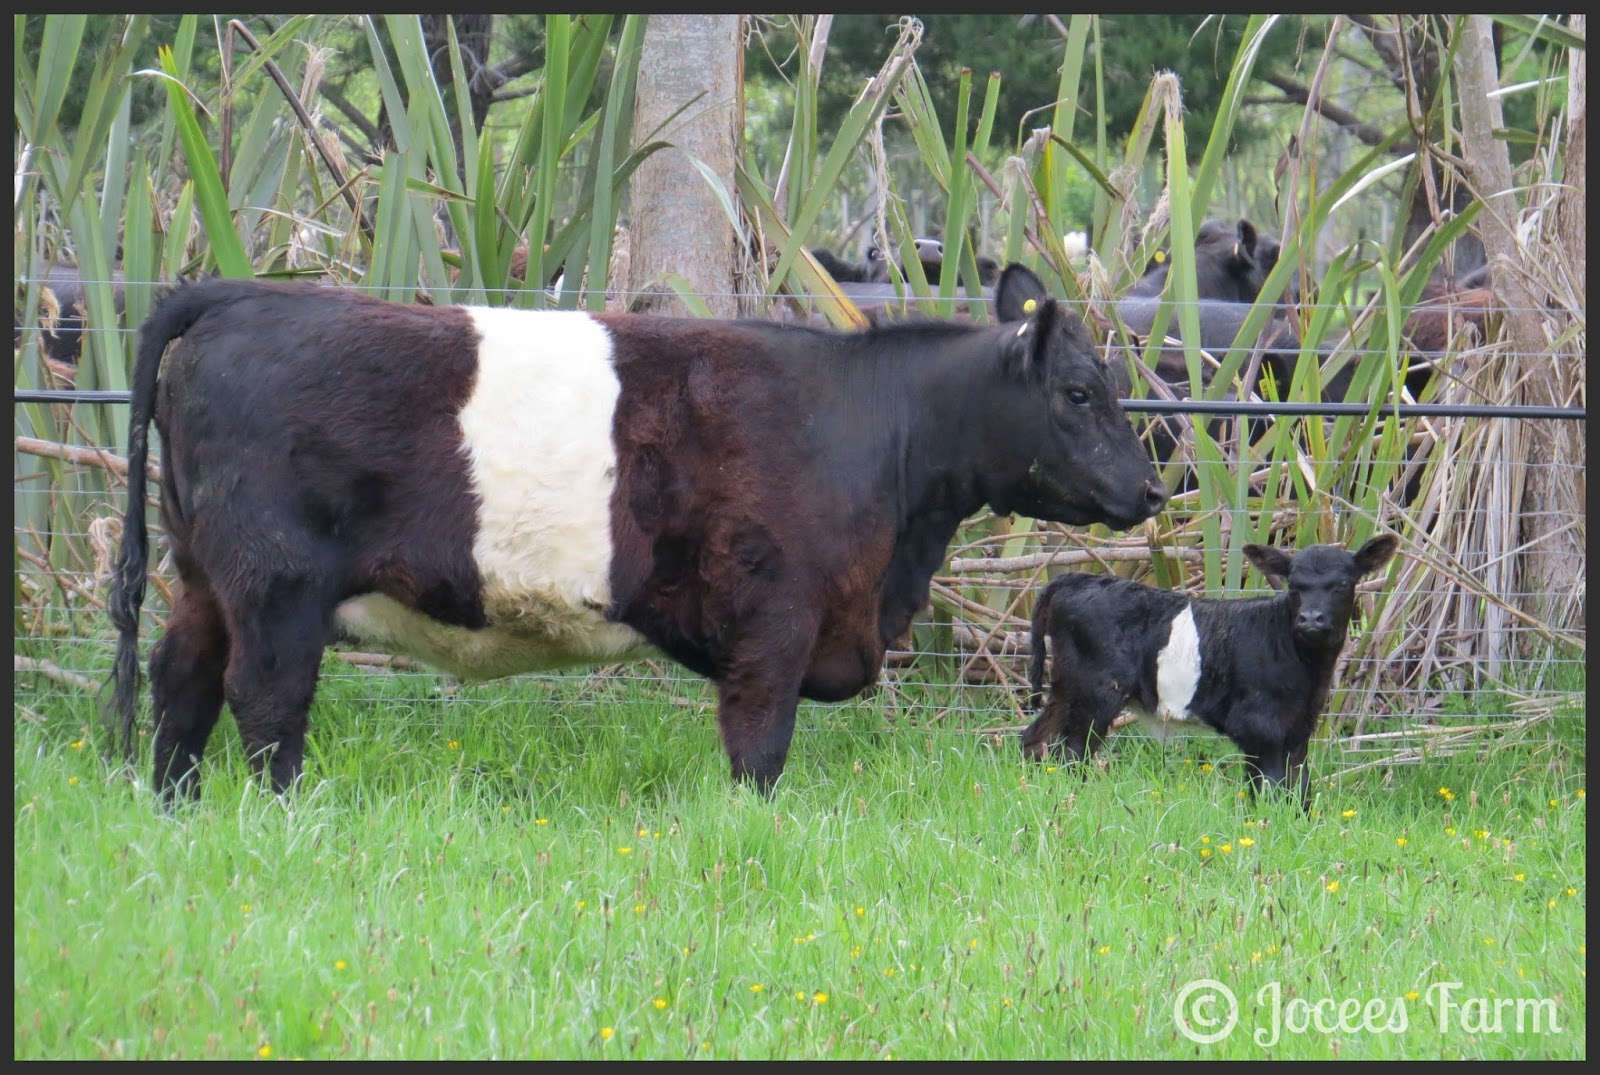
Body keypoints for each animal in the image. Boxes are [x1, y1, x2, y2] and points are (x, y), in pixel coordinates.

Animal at [108, 265, 1169, 803]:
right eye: (1080, 392)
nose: (1154, 488)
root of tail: (244, 293)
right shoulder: (775, 620)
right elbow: (759, 743)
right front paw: (753, 827)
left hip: (204, 574)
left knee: (181, 677)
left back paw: (175, 805)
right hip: (275, 581)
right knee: (263, 697)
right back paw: (285, 813)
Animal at [1021, 535, 1399, 807]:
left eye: (1343, 583)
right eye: (1293, 584)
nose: (1310, 619)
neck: (1307, 667)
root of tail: (1079, 579)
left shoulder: (1298, 728)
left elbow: (1297, 788)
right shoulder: (1258, 725)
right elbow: (1270, 786)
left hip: (1068, 689)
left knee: (1035, 738)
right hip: (1096, 693)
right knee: (1071, 751)